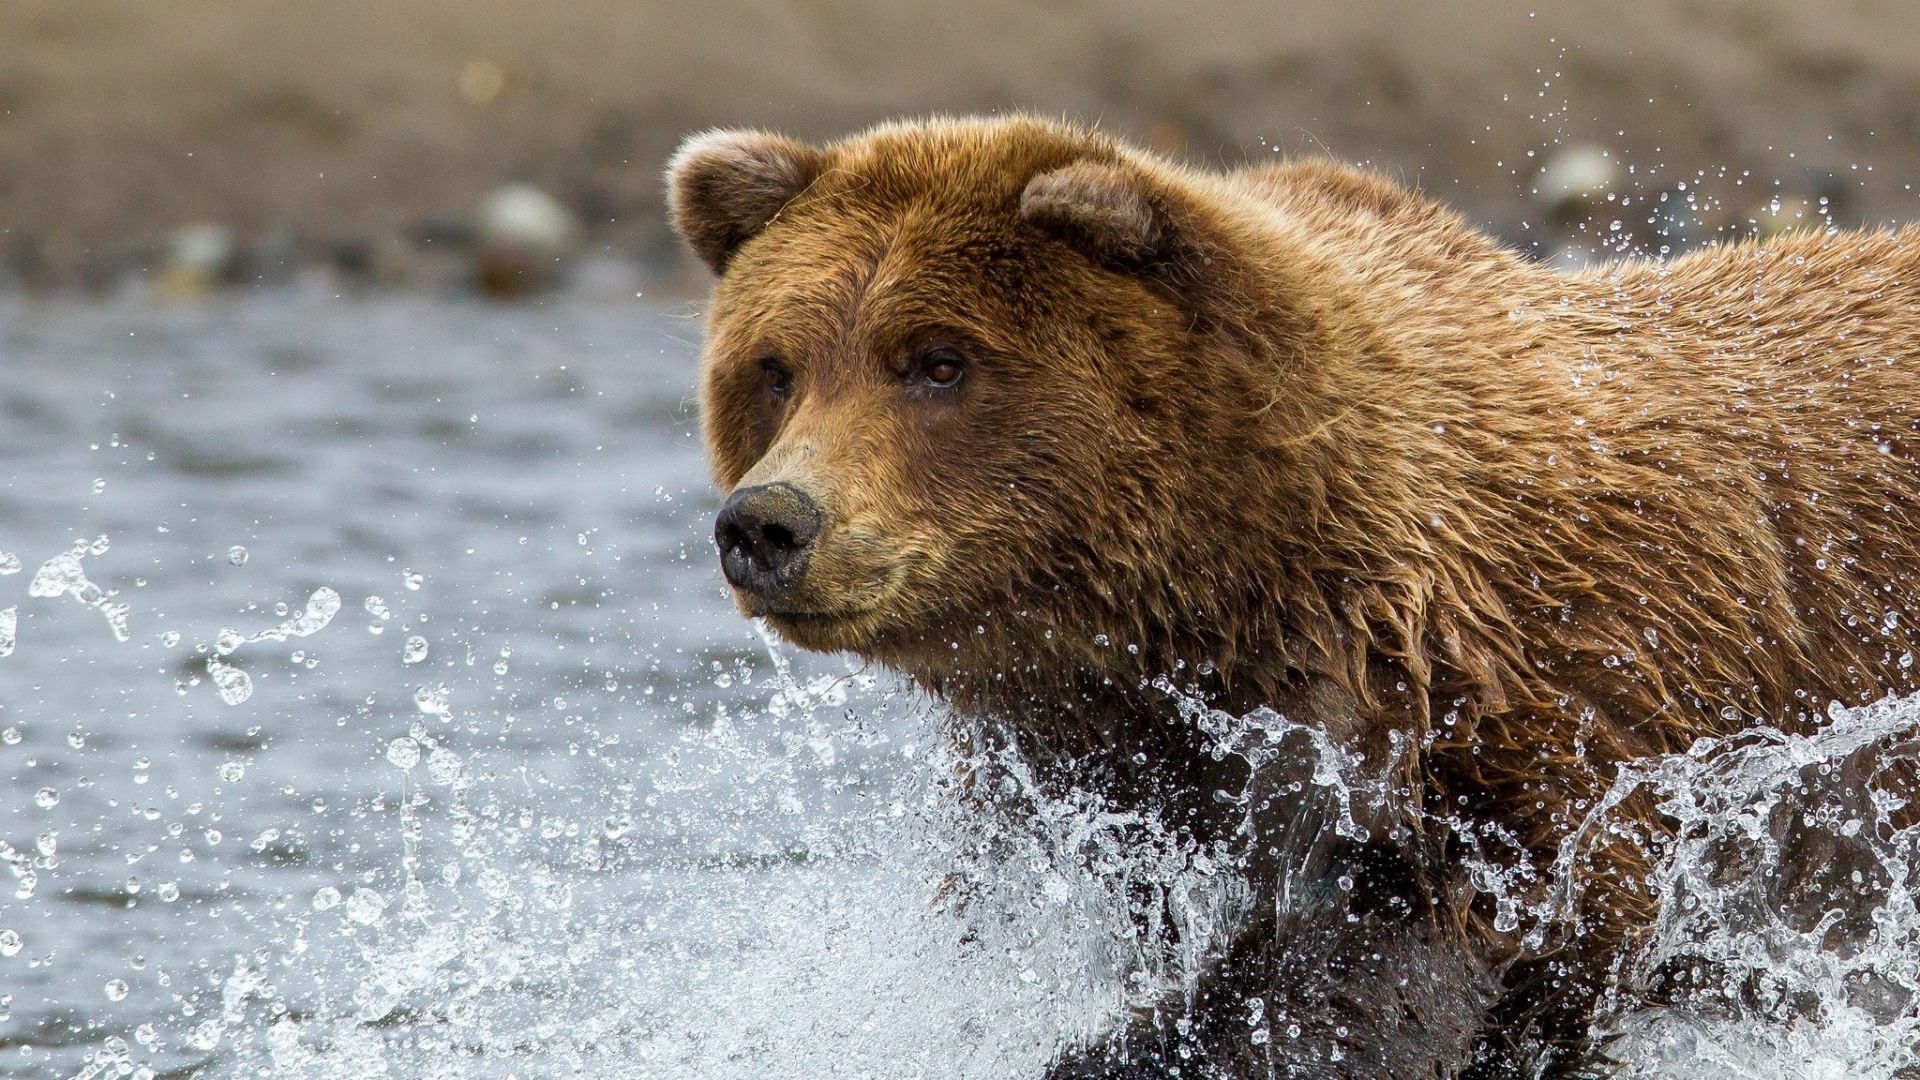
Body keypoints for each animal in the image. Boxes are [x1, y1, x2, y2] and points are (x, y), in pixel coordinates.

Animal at [666, 115, 1920, 1077]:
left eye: (936, 360)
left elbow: (1438, 936)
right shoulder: (1108, 775)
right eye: (776, 367)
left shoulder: (1544, 709)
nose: (768, 523)